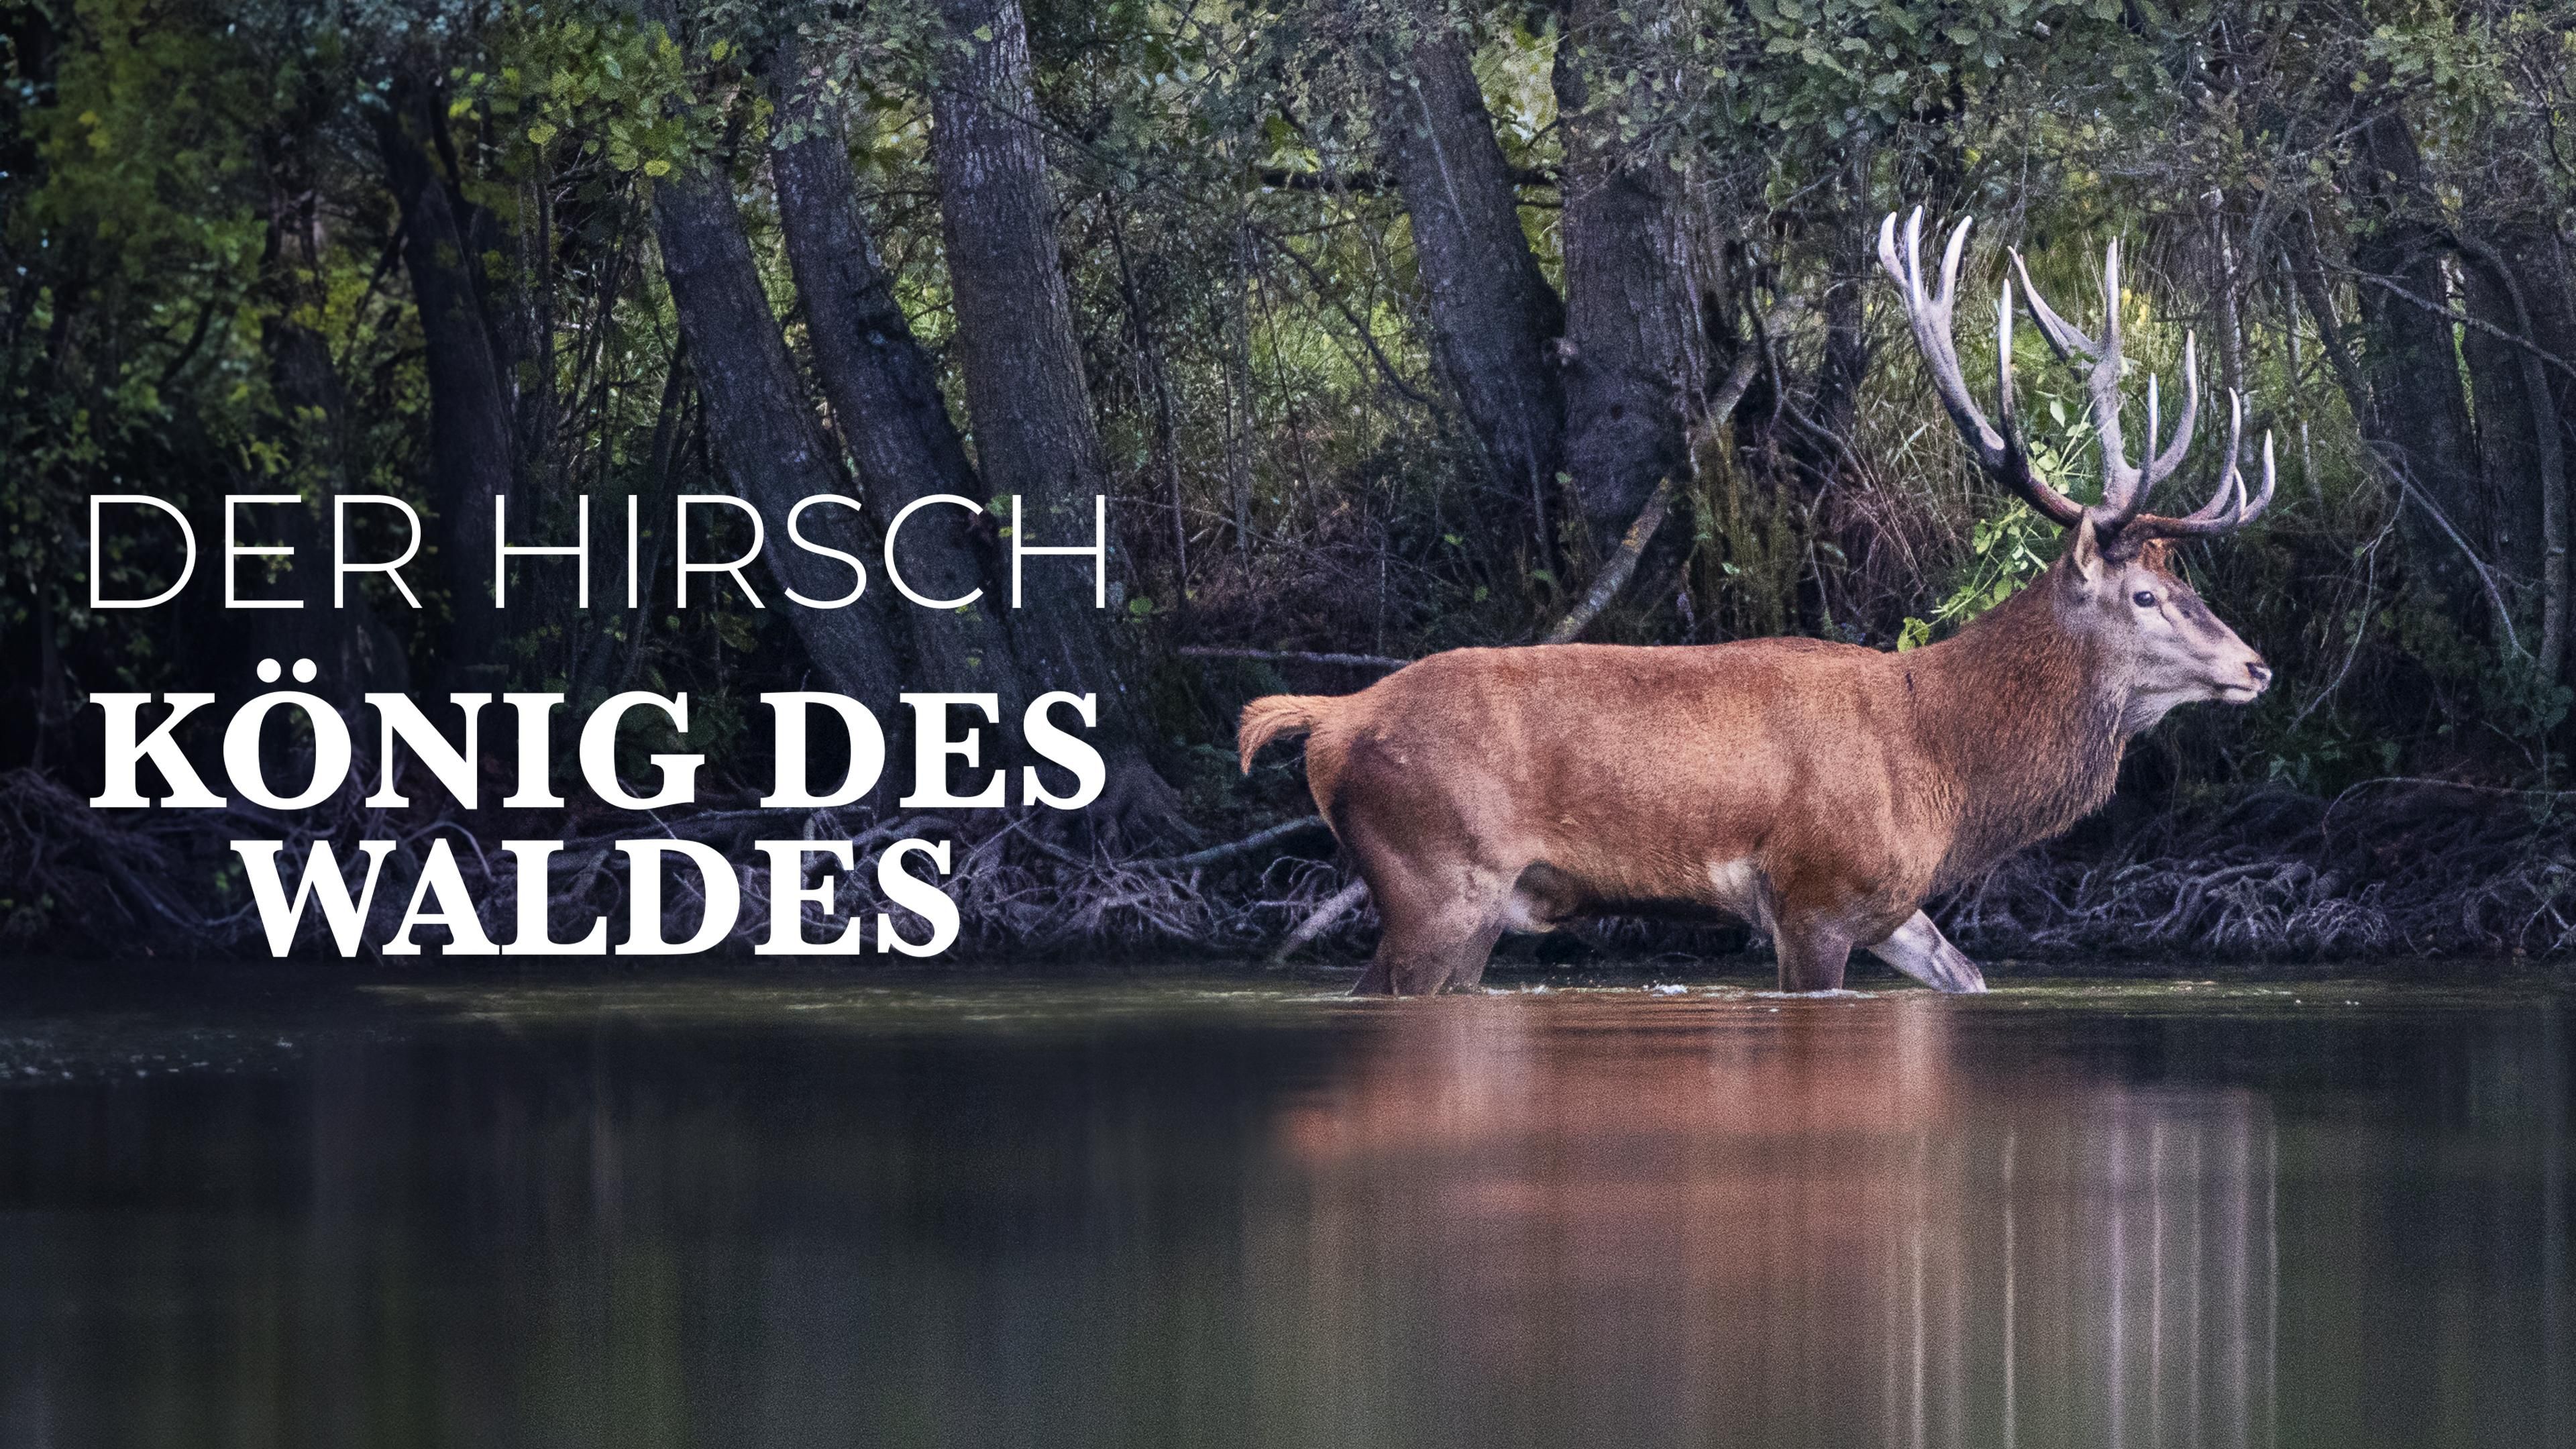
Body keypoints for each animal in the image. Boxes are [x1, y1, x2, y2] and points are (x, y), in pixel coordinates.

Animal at [1236, 209, 2277, 996]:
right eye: (2147, 594)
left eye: (2185, 584)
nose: (2257, 666)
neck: (1943, 767)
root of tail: (1328, 719)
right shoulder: (1812, 892)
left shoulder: (1893, 907)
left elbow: (1969, 977)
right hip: (1434, 881)